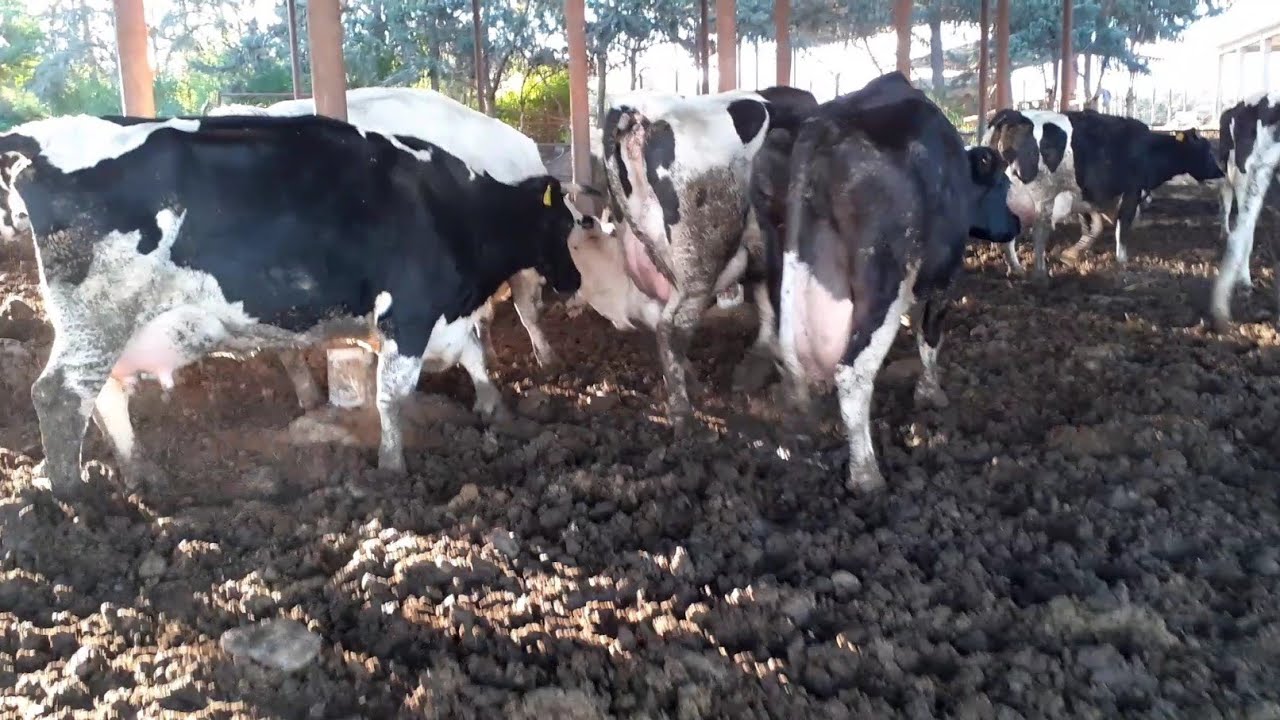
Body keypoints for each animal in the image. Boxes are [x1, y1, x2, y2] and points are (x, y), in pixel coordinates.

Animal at [0, 112, 582, 503]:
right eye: (565, 225)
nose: (574, 281)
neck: (456, 210)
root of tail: (44, 137)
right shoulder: (410, 312)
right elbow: (392, 396)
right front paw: (392, 466)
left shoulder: (443, 314)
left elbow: (475, 356)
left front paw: (494, 408)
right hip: (98, 313)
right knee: (58, 394)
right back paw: (75, 497)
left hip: (112, 325)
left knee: (104, 394)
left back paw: (143, 474)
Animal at [775, 71, 1024, 491]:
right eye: (1003, 186)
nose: (1017, 223)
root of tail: (826, 132)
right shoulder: (945, 277)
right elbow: (930, 336)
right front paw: (931, 392)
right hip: (882, 283)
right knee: (853, 371)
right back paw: (866, 474)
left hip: (799, 268)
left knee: (791, 354)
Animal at [984, 108, 1222, 278]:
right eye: (1207, 151)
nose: (1220, 172)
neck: (1148, 150)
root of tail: (1011, 115)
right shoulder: (1131, 192)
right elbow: (1121, 227)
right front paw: (1122, 260)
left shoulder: (1086, 196)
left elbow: (1094, 227)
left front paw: (1071, 254)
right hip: (1042, 195)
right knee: (1039, 232)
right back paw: (1039, 274)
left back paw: (1016, 268)